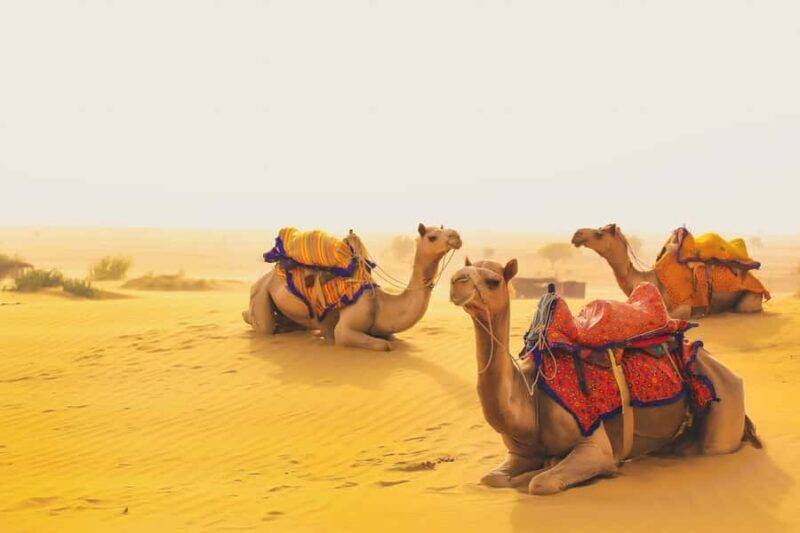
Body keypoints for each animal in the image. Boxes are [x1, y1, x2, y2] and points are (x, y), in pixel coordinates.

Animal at [244, 224, 462, 351]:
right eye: (432, 237)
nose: (456, 237)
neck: (381, 303)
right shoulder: (346, 329)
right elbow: (384, 345)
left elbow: (393, 338)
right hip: (260, 293)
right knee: (262, 324)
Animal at [449, 257, 760, 495]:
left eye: (493, 280)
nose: (456, 279)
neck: (529, 399)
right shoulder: (519, 454)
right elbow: (491, 478)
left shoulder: (592, 444)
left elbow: (542, 482)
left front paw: (584, 470)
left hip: (724, 408)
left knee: (711, 446)